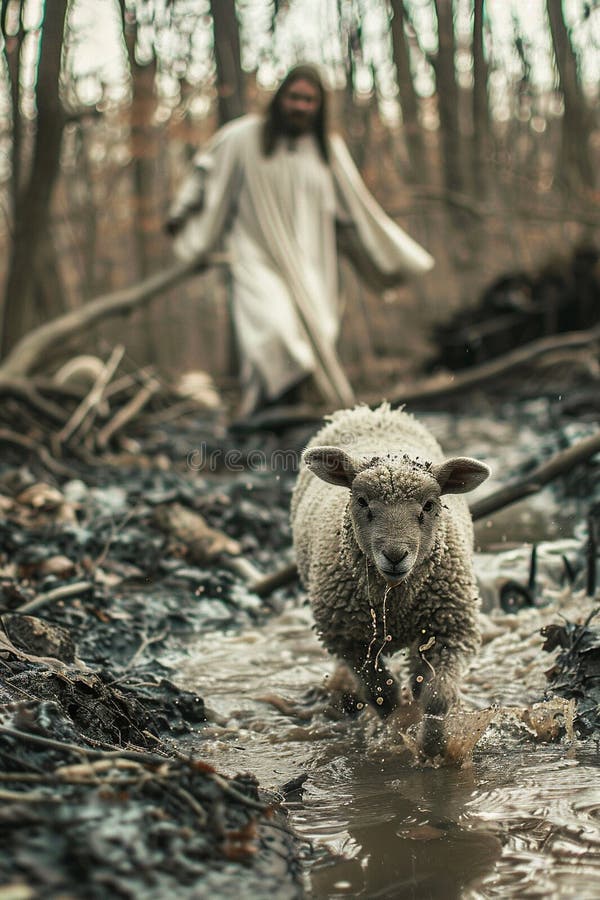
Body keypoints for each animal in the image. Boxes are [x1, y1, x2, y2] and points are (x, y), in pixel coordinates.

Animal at [291, 403, 490, 755]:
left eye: (429, 505)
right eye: (361, 501)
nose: (395, 555)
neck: (394, 599)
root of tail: (371, 410)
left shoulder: (449, 630)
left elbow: (436, 698)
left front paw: (433, 748)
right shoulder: (350, 639)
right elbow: (381, 693)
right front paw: (397, 730)